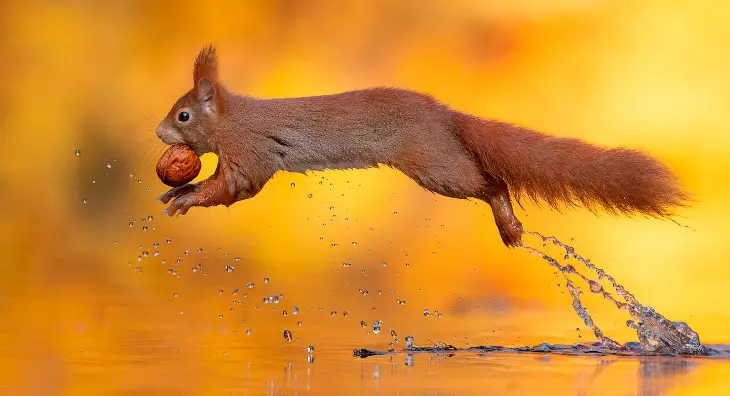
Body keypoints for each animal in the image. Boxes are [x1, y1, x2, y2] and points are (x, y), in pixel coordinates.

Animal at [156, 44, 684, 246]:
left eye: (183, 115)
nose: (159, 133)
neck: (232, 118)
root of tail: (446, 116)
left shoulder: (250, 152)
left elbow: (236, 187)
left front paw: (187, 198)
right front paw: (176, 190)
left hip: (437, 165)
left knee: (491, 183)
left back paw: (509, 224)